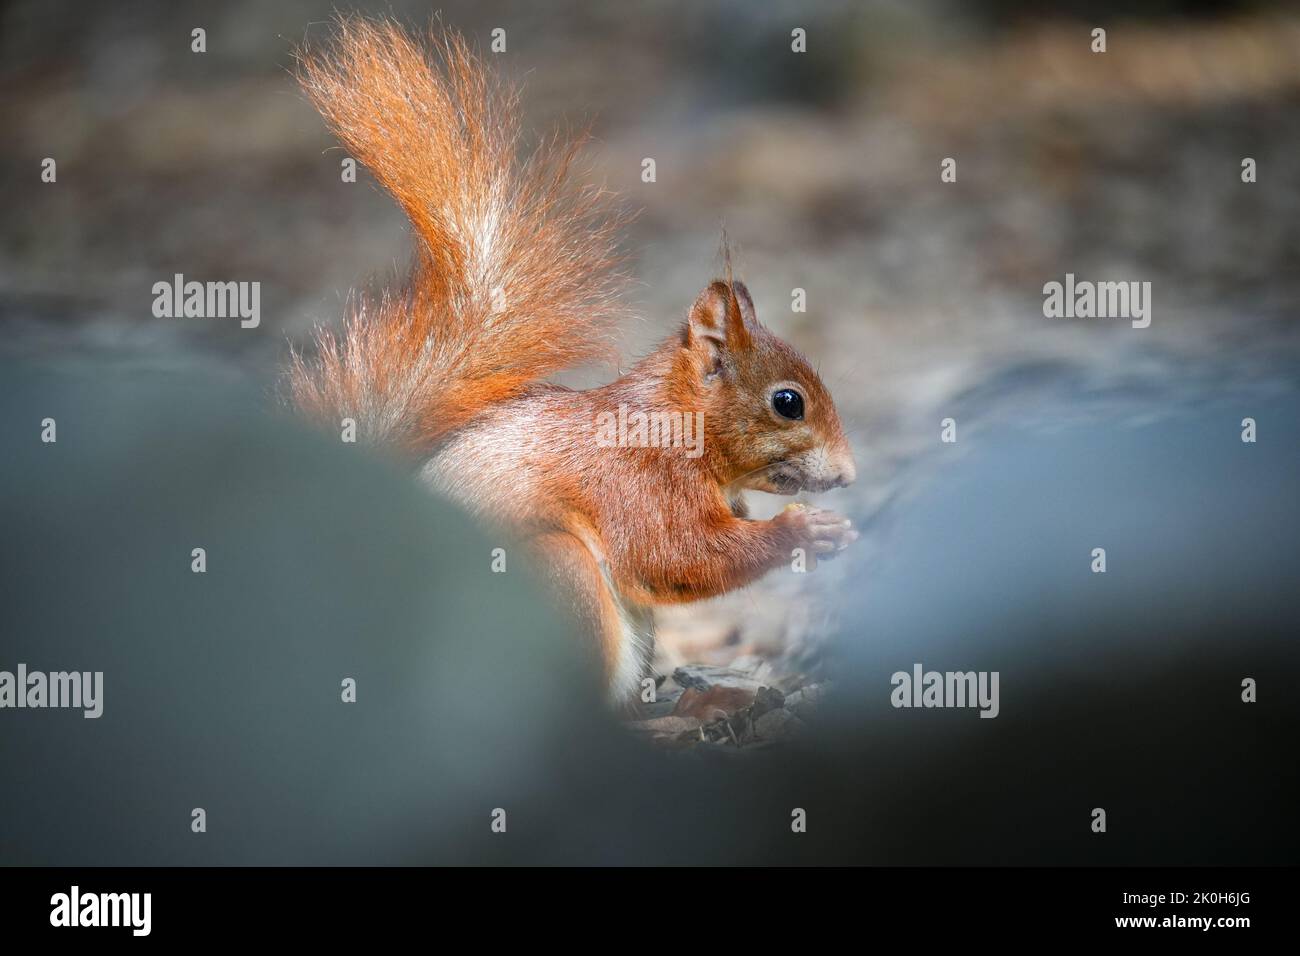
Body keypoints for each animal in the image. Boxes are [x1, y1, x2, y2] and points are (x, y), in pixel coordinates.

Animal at [288, 18, 858, 704]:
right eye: (788, 402)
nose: (851, 475)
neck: (676, 421)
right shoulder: (638, 482)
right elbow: (676, 556)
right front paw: (806, 532)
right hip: (554, 576)